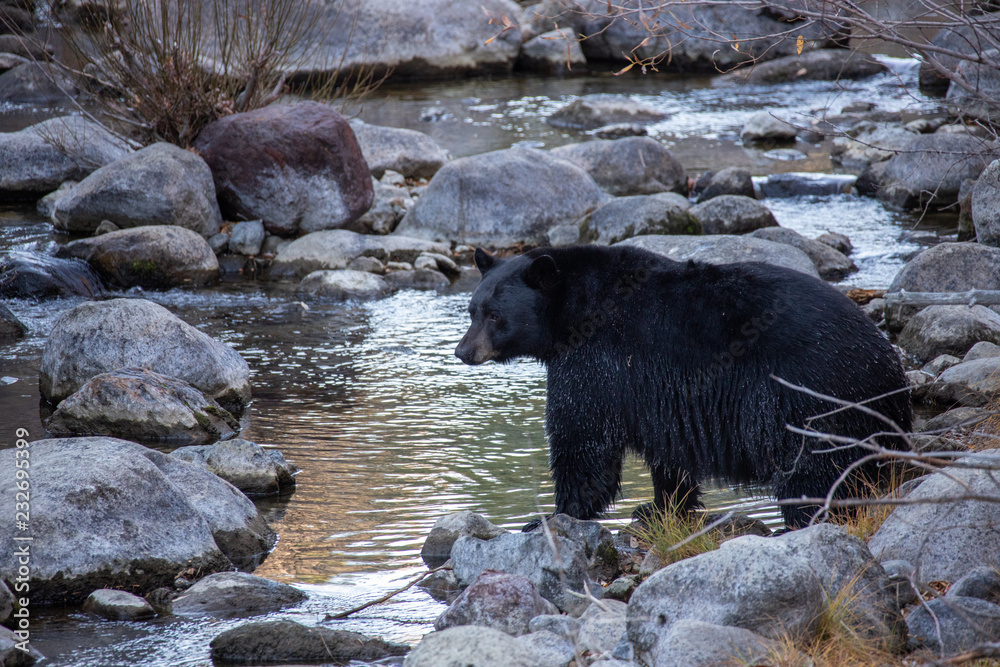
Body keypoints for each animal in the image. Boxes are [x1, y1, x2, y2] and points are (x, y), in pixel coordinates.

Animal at [455, 244, 911, 529]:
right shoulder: (661, 394)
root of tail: (891, 371)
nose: (463, 351)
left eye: (495, 315)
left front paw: (552, 516)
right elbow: (668, 453)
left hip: (812, 403)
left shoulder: (596, 361)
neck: (572, 312)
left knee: (814, 473)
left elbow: (583, 437)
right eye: (472, 309)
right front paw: (660, 508)